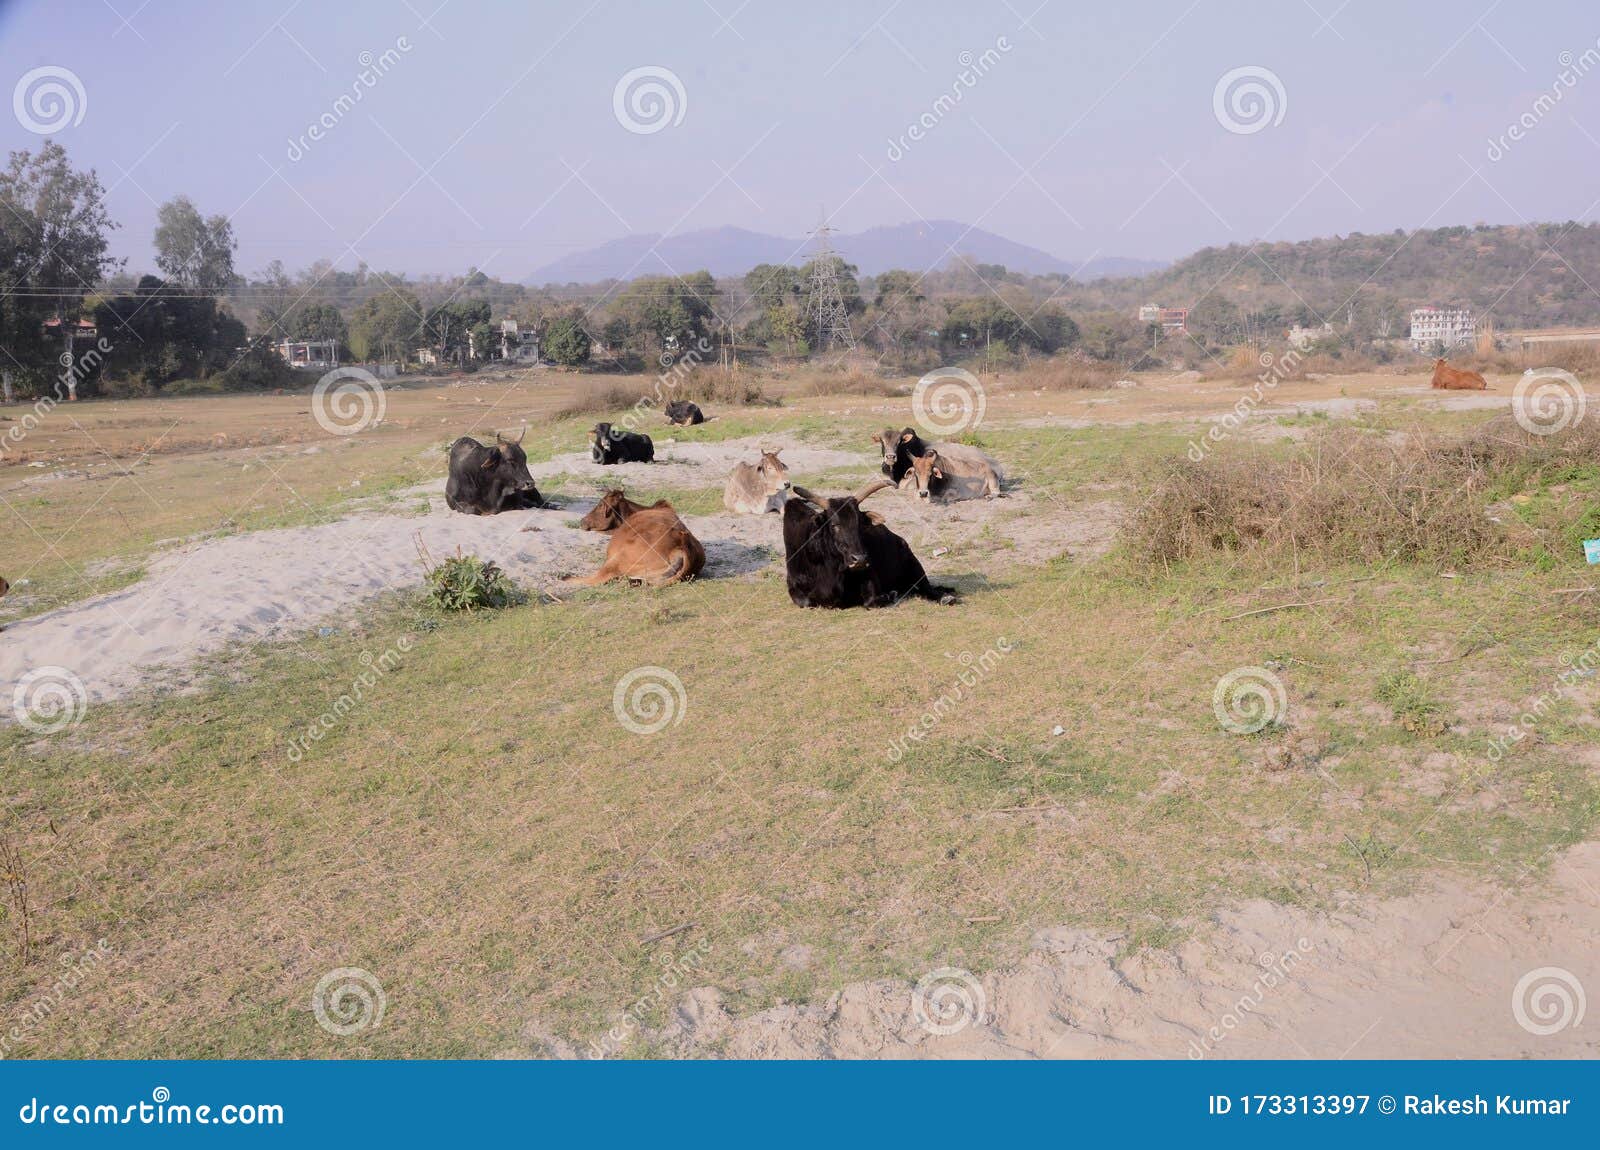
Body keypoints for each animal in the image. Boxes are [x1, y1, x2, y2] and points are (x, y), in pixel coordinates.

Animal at [782, 480, 957, 609]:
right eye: (834, 525)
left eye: (860, 523)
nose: (859, 559)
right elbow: (806, 602)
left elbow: (870, 601)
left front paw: (890, 595)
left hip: (914, 564)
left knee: (927, 588)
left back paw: (946, 598)